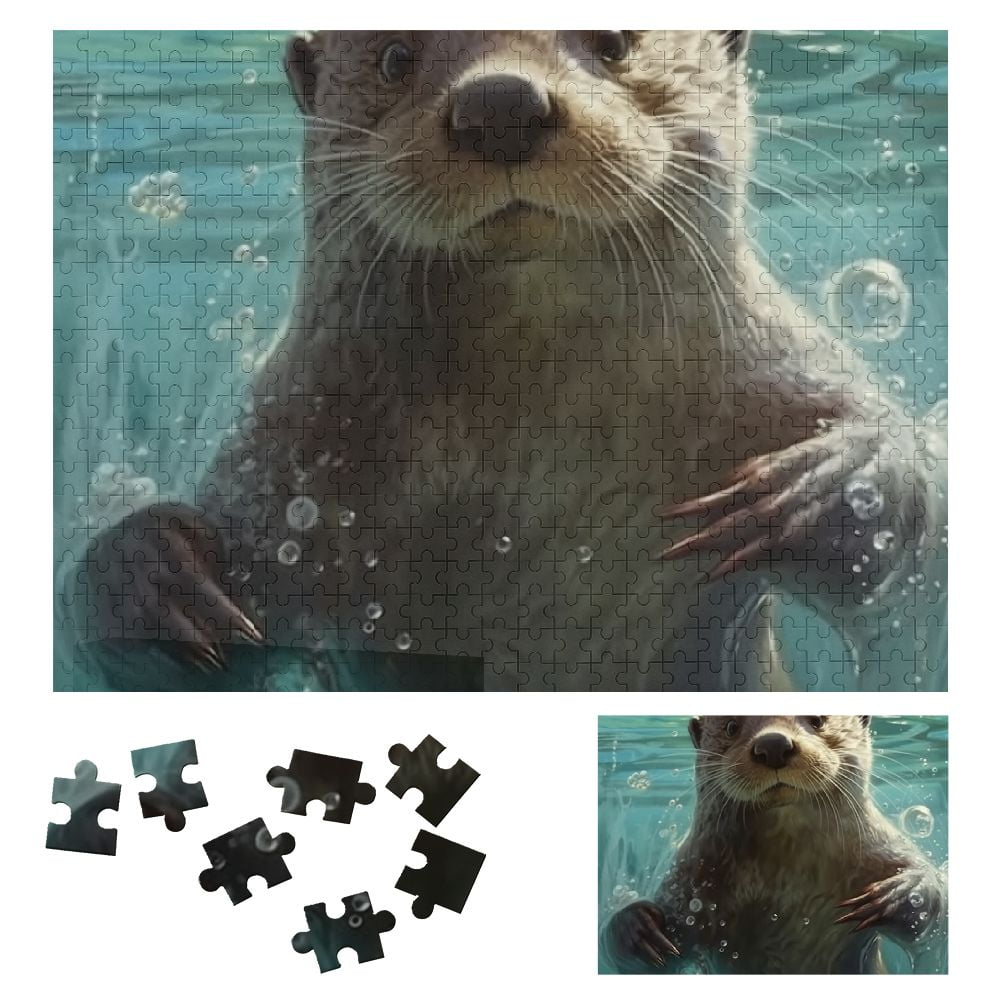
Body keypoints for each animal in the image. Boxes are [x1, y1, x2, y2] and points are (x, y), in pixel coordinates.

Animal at [70, 31, 944, 689]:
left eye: (614, 42)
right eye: (395, 57)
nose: (500, 104)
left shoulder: (781, 377)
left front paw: (832, 480)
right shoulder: (283, 472)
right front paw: (152, 575)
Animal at [602, 715, 947, 974]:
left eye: (817, 720)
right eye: (731, 726)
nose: (773, 744)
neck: (788, 889)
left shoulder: (885, 851)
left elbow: (938, 926)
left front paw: (903, 892)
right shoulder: (689, 888)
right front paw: (637, 927)